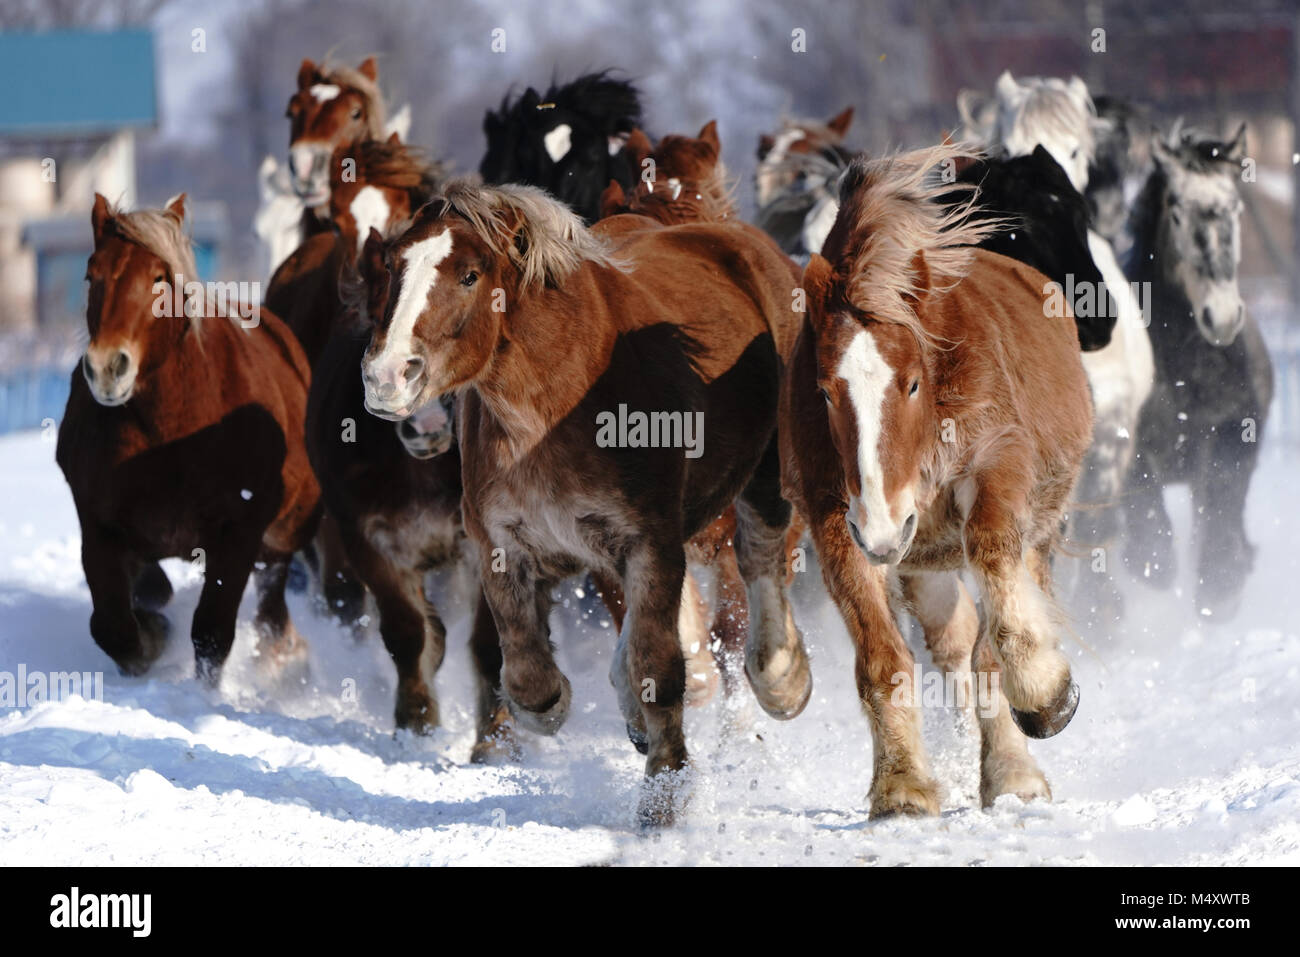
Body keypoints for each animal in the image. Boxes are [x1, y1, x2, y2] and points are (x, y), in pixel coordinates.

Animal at [57, 194, 321, 684]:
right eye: (91, 275)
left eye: (160, 278)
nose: (106, 368)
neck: (167, 439)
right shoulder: (98, 526)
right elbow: (114, 627)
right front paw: (153, 635)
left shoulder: (238, 532)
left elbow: (212, 632)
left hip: (287, 530)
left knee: (273, 590)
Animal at [357, 181, 814, 825]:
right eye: (394, 266)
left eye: (470, 274)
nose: (388, 376)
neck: (564, 395)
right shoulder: (501, 543)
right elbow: (528, 676)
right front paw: (560, 709)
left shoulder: (652, 542)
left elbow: (658, 667)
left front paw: (664, 800)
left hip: (768, 476)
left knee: (762, 561)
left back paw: (781, 680)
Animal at [784, 145, 1094, 817]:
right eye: (824, 391)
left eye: (912, 384)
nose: (884, 526)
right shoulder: (837, 518)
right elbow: (882, 660)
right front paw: (901, 787)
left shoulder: (999, 465)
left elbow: (995, 568)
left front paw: (1045, 697)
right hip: (923, 564)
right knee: (955, 645)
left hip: (1037, 525)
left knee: (992, 630)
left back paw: (1016, 768)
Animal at [1123, 124, 1273, 619]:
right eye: (1175, 211)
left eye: (1236, 208)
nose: (1221, 317)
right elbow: (1148, 523)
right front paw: (1153, 567)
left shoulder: (1231, 430)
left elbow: (1224, 505)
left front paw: (1220, 589)